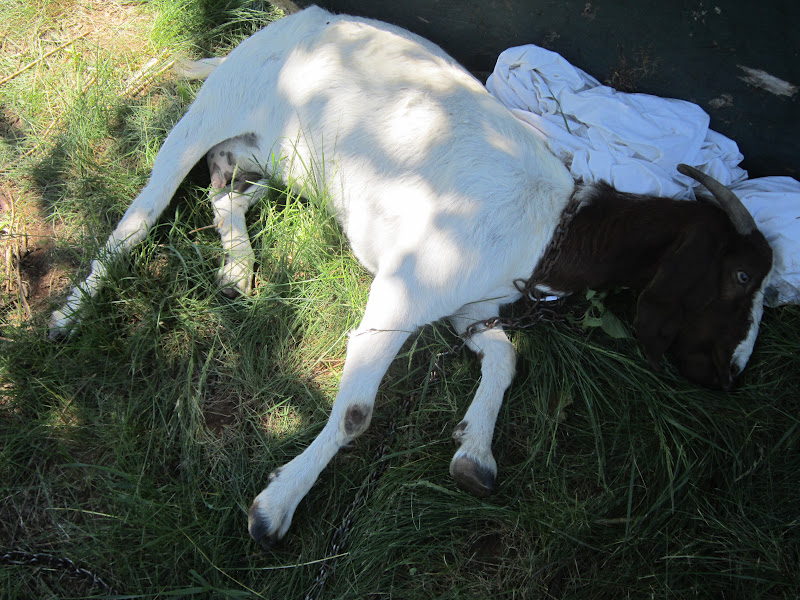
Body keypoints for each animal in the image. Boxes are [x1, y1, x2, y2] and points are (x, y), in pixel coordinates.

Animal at [48, 6, 773, 547]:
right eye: (740, 274)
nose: (731, 376)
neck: (550, 227)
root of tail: (293, 20)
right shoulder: (403, 290)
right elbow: (355, 413)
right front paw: (274, 508)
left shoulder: (469, 307)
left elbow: (506, 357)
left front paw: (475, 456)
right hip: (216, 111)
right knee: (141, 216)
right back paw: (68, 315)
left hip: (277, 159)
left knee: (226, 196)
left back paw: (237, 271)